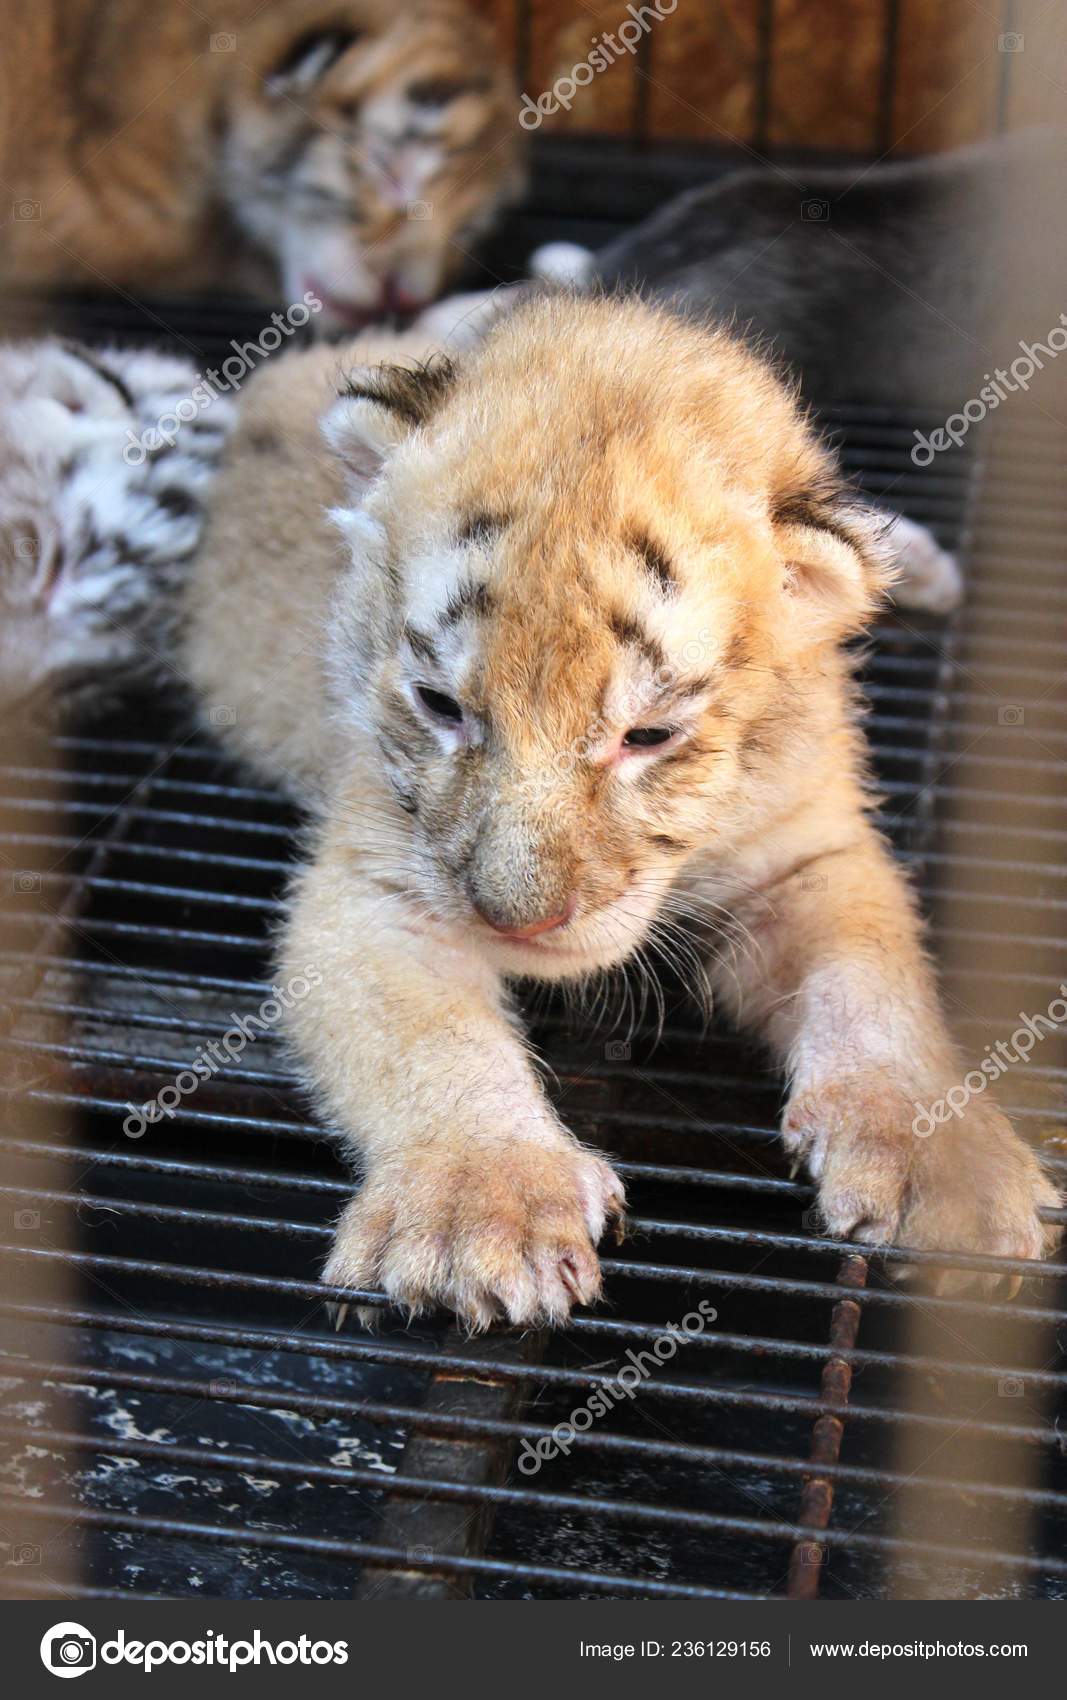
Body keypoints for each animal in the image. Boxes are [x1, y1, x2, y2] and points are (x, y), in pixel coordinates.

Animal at [178, 291, 1059, 1330]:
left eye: (647, 735)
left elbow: (874, 984)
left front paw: (940, 1162)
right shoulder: (377, 887)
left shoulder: (808, 852)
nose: (517, 920)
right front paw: (481, 1207)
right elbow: (426, 1043)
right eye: (439, 705)